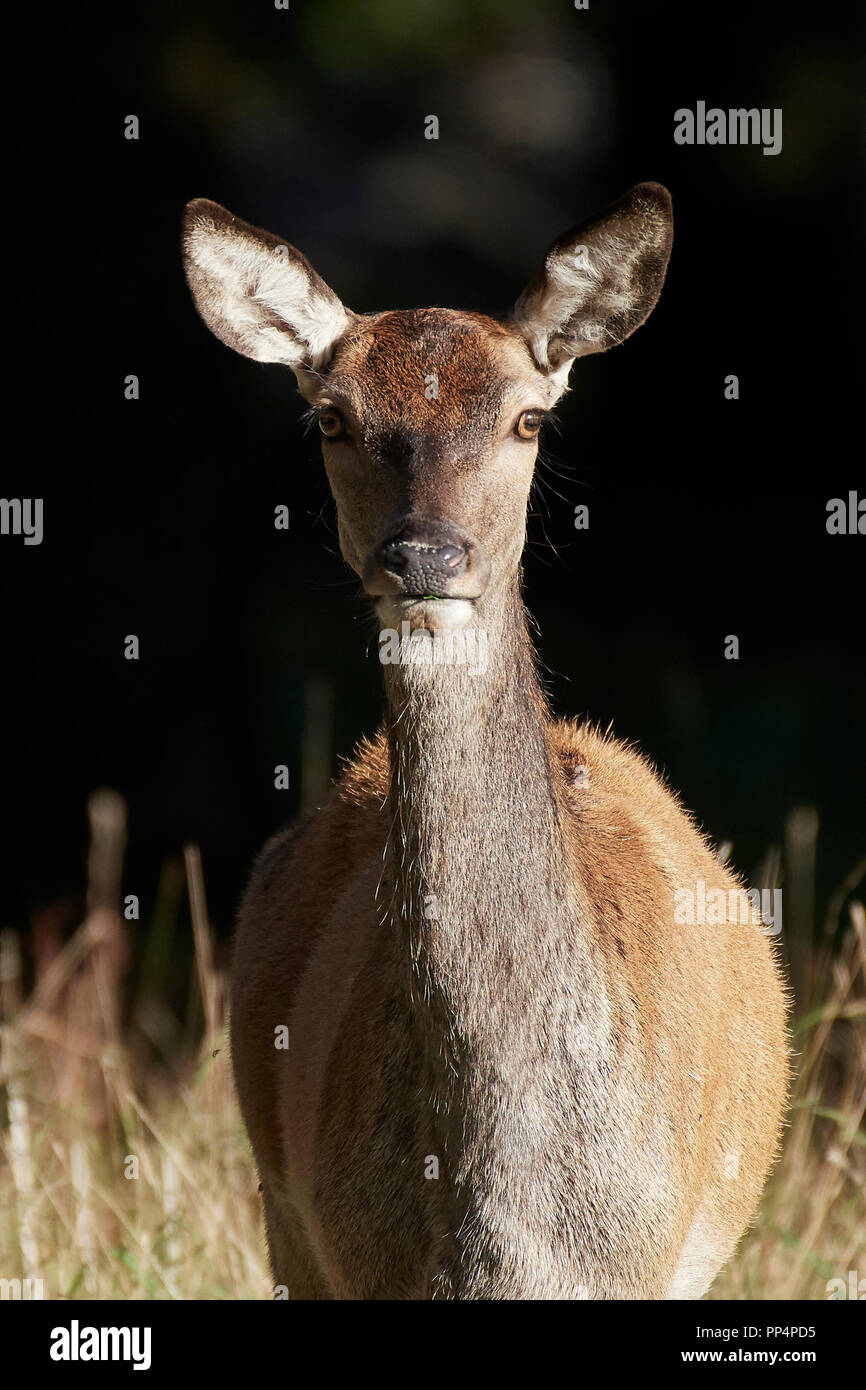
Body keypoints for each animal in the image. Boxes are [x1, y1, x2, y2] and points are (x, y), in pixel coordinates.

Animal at [182, 182, 789, 1300]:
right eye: (332, 416)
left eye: (528, 417)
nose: (423, 554)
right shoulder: (351, 1258)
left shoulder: (647, 1264)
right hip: (282, 1215)